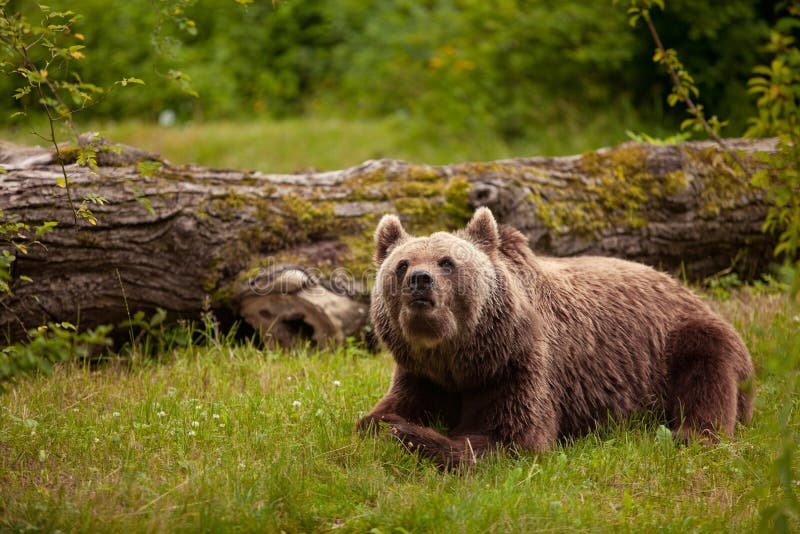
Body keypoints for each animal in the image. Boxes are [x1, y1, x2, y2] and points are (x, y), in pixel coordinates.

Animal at [358, 207, 755, 468]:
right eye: (402, 264)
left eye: (446, 262)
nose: (419, 280)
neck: (461, 358)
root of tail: (681, 284)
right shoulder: (423, 375)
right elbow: (380, 413)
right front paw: (385, 424)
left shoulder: (518, 365)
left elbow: (511, 437)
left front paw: (407, 433)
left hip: (679, 341)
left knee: (708, 373)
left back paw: (690, 434)